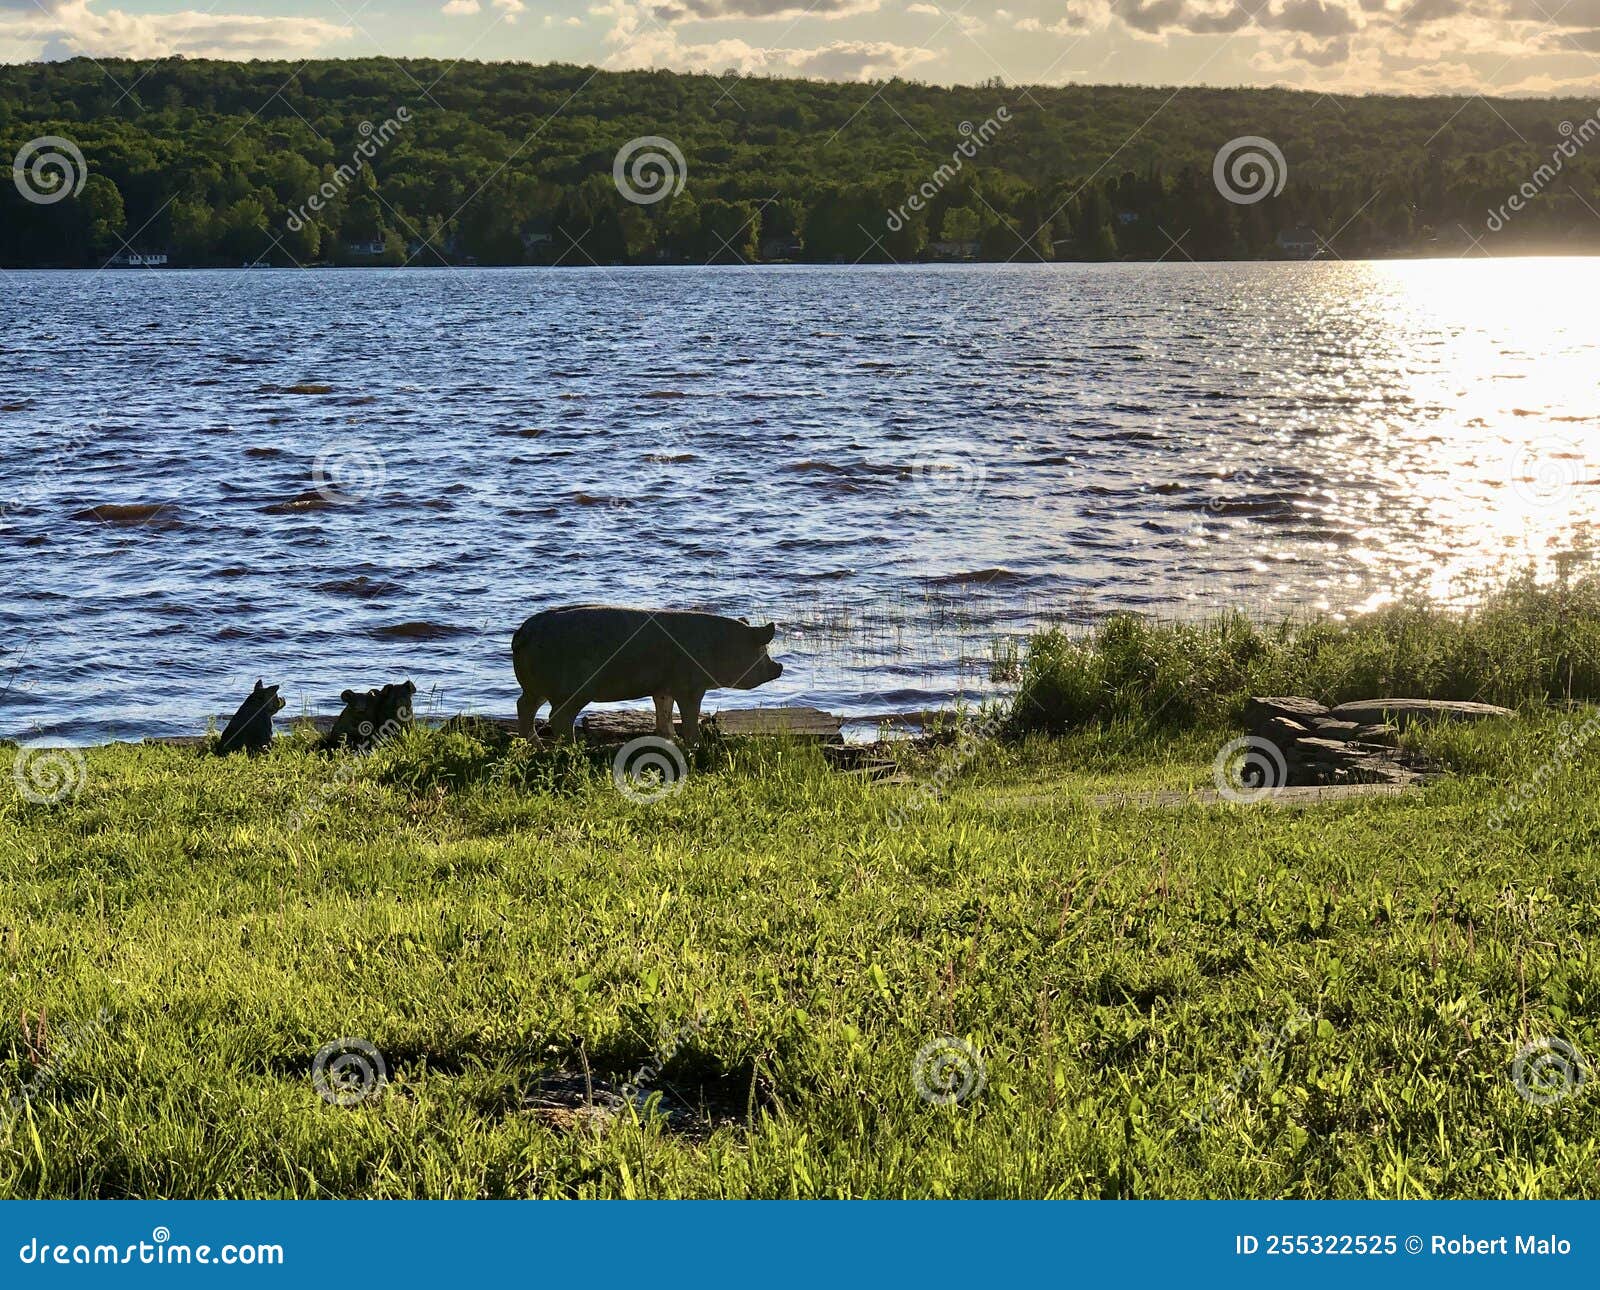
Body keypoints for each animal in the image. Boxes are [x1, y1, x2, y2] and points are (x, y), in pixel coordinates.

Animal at [511, 605, 782, 746]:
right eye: (762, 649)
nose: (778, 667)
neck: (718, 646)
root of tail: (525, 631)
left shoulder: (664, 688)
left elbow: (664, 710)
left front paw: (670, 738)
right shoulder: (690, 688)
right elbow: (689, 715)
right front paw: (695, 744)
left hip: (535, 689)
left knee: (524, 706)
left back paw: (534, 745)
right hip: (572, 692)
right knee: (557, 717)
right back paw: (572, 747)